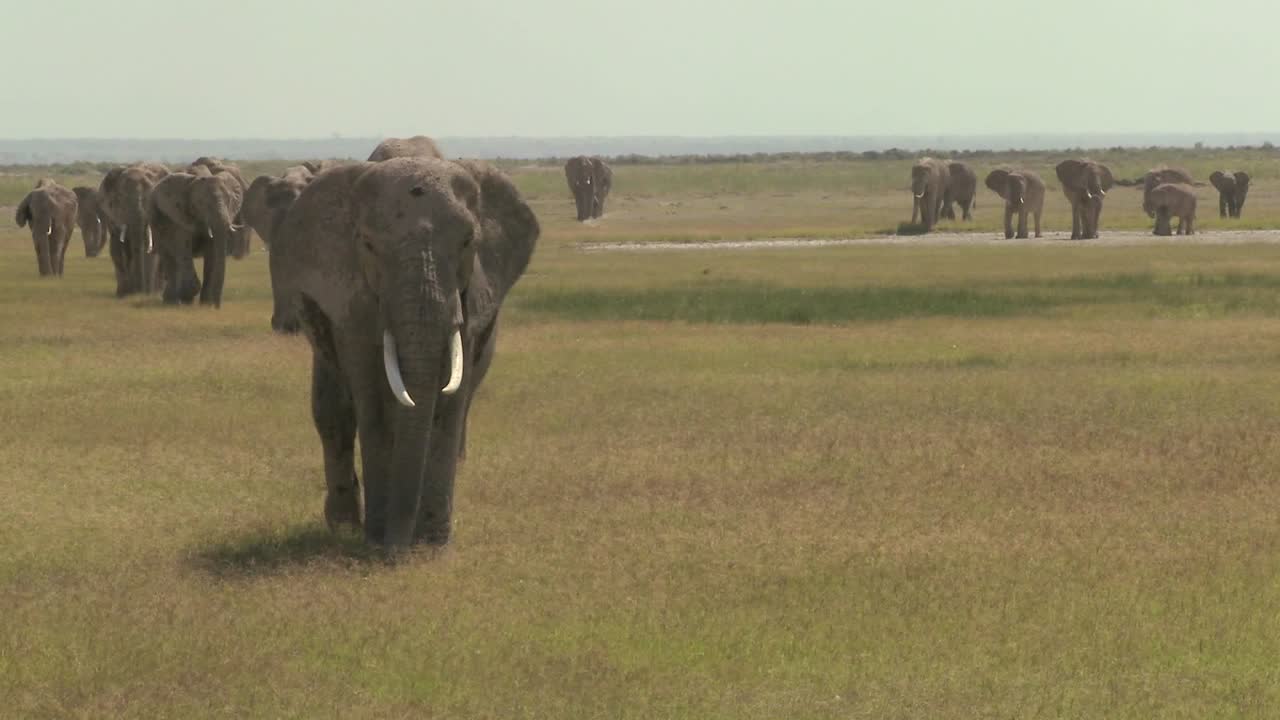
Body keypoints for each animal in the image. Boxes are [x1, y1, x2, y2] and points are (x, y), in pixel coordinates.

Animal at [98, 162, 170, 296]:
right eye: (121, 198)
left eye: (152, 199)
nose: (141, 291)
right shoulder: (113, 217)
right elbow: (118, 248)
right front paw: (124, 294)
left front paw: (148, 293)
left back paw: (158, 291)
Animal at [147, 167, 246, 307]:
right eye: (201, 203)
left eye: (229, 200)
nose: (217, 307)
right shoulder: (180, 215)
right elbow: (184, 248)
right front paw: (187, 298)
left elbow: (212, 254)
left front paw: (206, 304)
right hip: (155, 223)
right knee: (170, 257)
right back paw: (172, 301)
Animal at [268, 156, 540, 548]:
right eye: (367, 244)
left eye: (468, 241)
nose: (396, 545)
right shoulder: (353, 298)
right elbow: (372, 404)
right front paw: (378, 539)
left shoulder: (469, 298)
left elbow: (450, 404)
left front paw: (432, 544)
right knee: (332, 414)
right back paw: (346, 526)